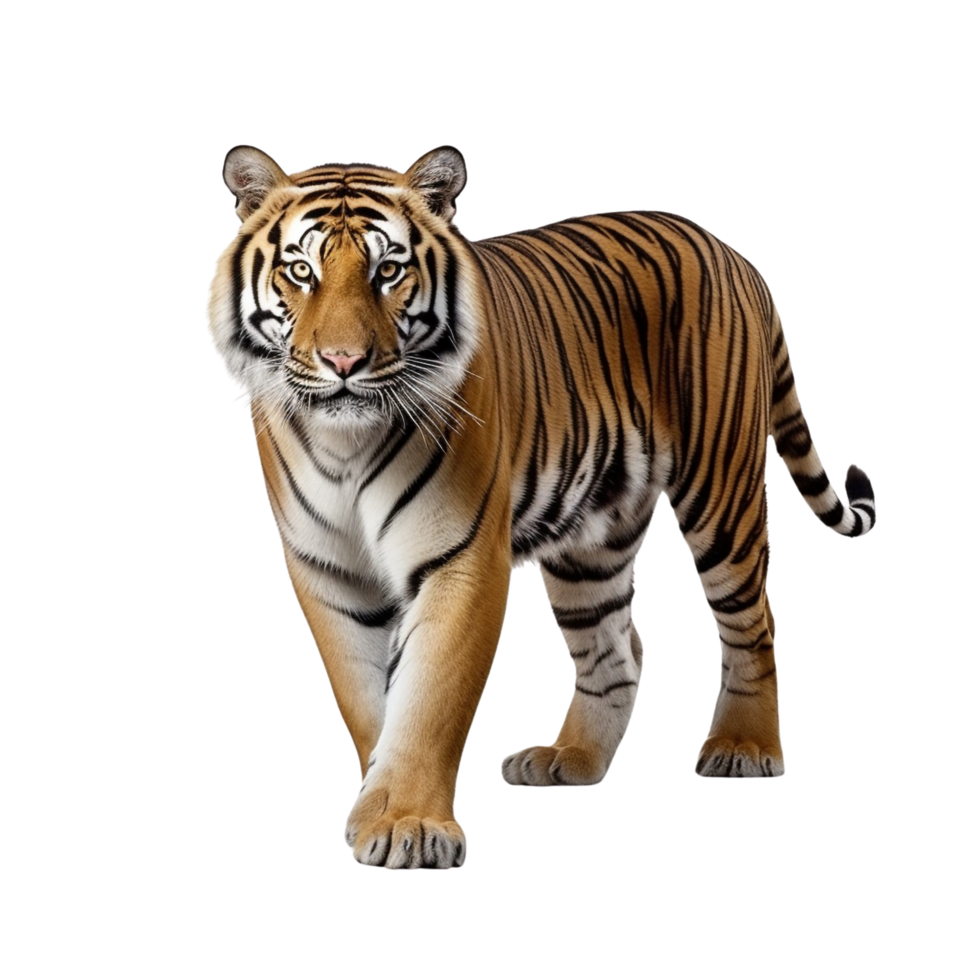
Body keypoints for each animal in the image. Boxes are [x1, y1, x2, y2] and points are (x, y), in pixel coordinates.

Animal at [203, 144, 878, 870]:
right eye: (301, 271)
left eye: (389, 271)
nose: (344, 361)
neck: (346, 443)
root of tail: (732, 251)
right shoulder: (327, 572)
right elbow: (364, 699)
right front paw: (374, 808)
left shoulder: (462, 557)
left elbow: (430, 695)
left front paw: (411, 823)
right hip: (591, 540)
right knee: (618, 648)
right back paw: (570, 758)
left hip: (719, 492)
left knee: (753, 622)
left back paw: (744, 748)